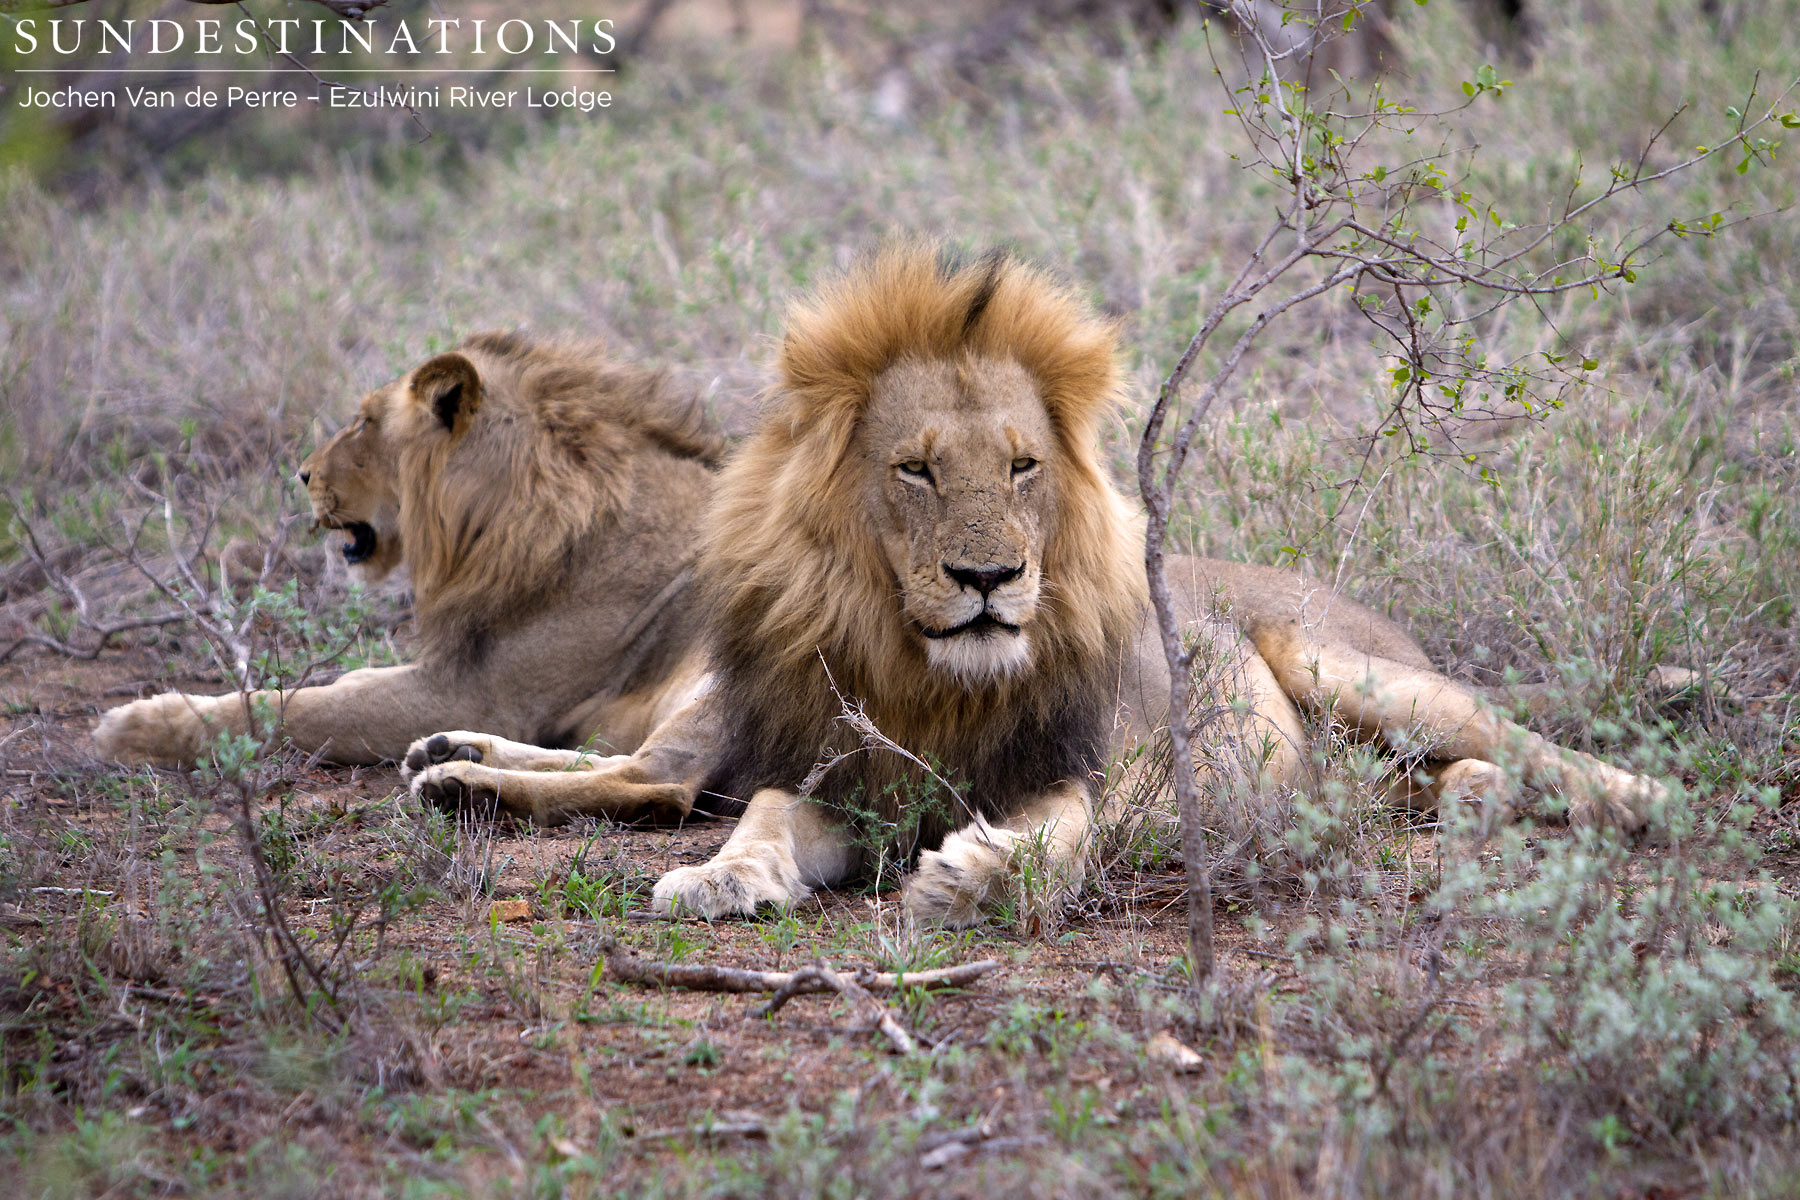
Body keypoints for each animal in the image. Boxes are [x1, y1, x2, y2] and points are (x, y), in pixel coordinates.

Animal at [93, 331, 721, 769]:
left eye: (365, 423)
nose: (302, 474)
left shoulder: (475, 696)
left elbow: (285, 707)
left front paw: (132, 726)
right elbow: (344, 683)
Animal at [404, 248, 1669, 928]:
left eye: (1021, 465)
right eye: (916, 469)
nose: (987, 577)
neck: (929, 679)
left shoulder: (1084, 773)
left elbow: (1061, 832)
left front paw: (968, 878)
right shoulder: (835, 774)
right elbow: (755, 816)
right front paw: (723, 880)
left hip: (1358, 671)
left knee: (1528, 741)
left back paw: (1638, 801)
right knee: (634, 769)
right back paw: (453, 767)